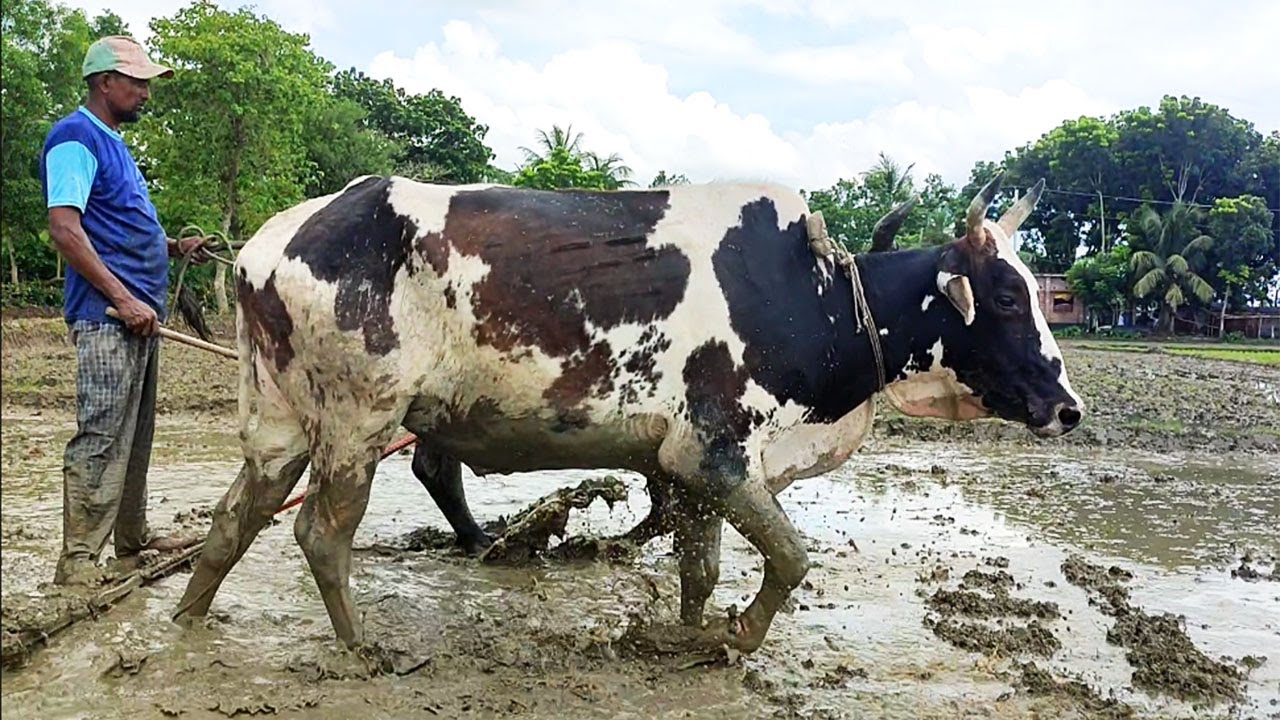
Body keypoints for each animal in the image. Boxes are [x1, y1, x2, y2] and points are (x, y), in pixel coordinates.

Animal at [173, 171, 1083, 655]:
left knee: (235, 518)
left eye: (1039, 294)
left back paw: (185, 618)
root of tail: (266, 245)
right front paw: (736, 640)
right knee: (318, 534)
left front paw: (685, 638)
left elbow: (701, 571)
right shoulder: (716, 453)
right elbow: (792, 560)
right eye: (1007, 296)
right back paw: (362, 649)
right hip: (359, 422)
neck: (820, 299)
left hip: (281, 423)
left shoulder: (696, 469)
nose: (1068, 407)